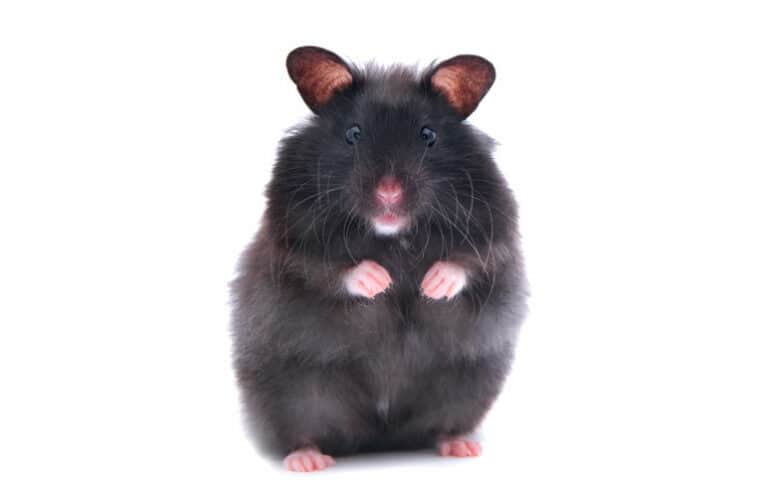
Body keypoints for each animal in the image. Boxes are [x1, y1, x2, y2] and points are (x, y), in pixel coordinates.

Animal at [230, 46, 528, 472]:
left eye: (428, 135)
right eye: (353, 134)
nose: (389, 194)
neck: (392, 236)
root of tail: (380, 436)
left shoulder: (494, 237)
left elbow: (469, 262)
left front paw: (431, 286)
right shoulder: (292, 243)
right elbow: (328, 269)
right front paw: (380, 281)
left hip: (467, 386)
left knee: (443, 423)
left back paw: (461, 446)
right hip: (292, 394)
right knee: (301, 429)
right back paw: (308, 460)